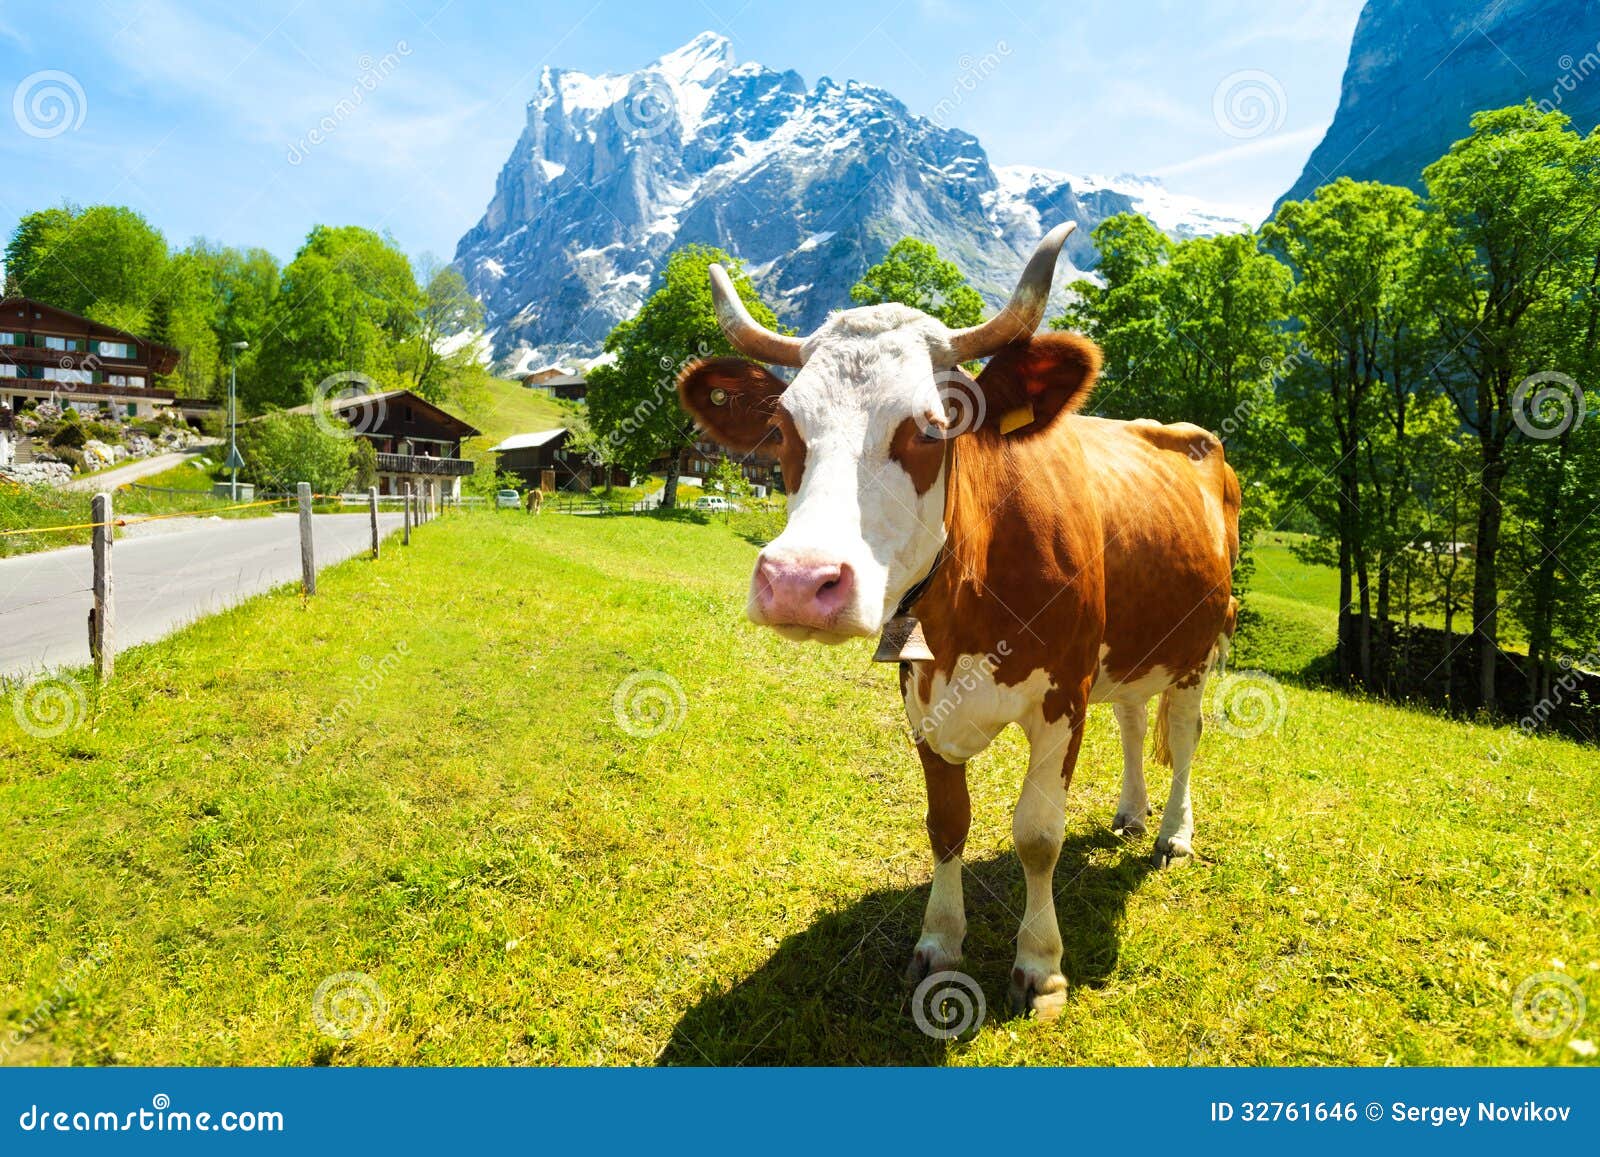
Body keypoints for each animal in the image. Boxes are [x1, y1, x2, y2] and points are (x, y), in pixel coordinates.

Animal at [676, 223, 1240, 1019]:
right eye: (784, 427)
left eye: (933, 427)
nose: (796, 581)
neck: (965, 612)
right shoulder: (920, 694)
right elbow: (947, 824)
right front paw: (939, 942)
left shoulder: (1064, 695)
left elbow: (1038, 834)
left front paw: (1041, 965)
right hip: (1131, 649)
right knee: (1134, 717)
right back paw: (1131, 813)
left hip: (1199, 645)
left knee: (1185, 736)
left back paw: (1171, 833)